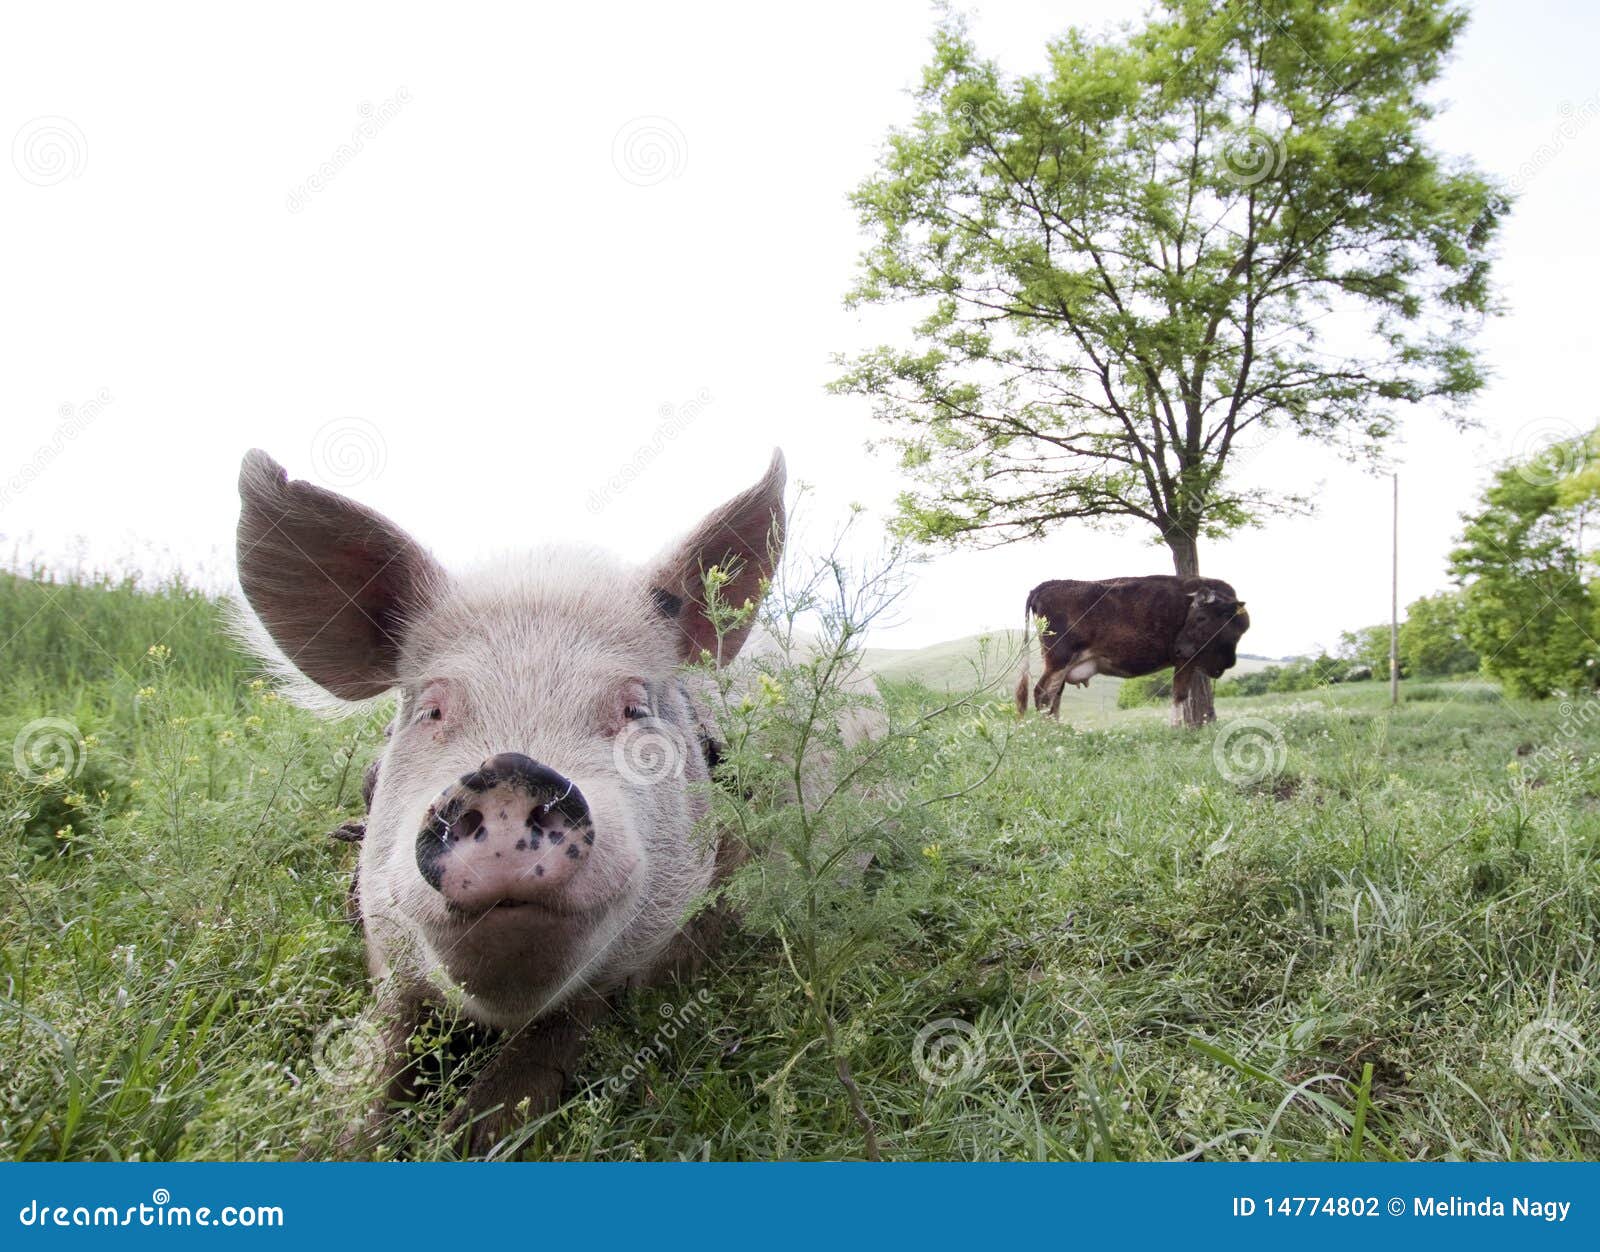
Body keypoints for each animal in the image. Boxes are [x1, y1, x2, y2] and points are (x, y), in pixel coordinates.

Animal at [234, 446, 787, 1153]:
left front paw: (464, 1137)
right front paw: (328, 1140)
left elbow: (544, 1051)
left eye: (634, 709)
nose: (508, 771)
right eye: (432, 710)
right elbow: (368, 1067)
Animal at [1014, 575, 1250, 720]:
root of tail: (1047, 584)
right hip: (1058, 659)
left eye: (1200, 617)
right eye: (1195, 616)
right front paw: (1177, 730)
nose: (1177, 647)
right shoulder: (1186, 660)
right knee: (1043, 693)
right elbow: (1179, 695)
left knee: (1055, 695)